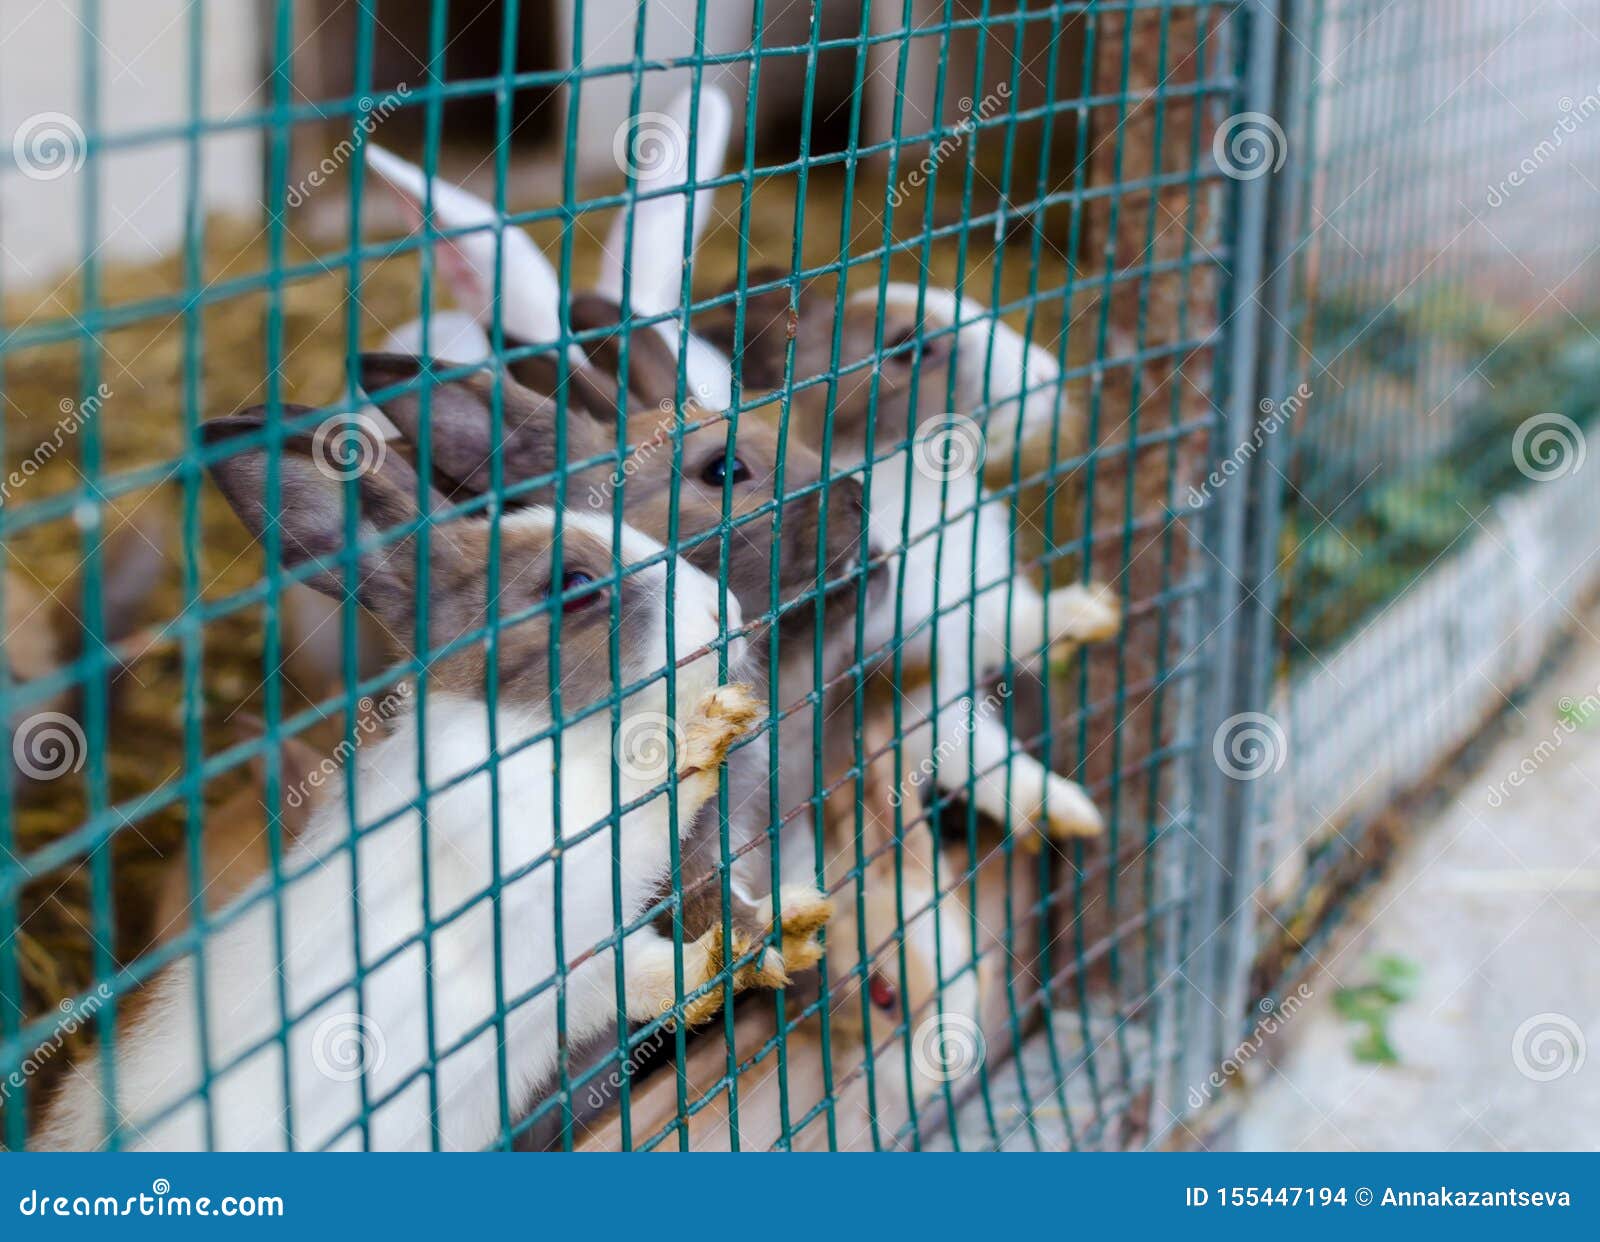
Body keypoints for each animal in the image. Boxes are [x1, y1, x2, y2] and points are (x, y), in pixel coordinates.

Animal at [34, 409, 812, 1152]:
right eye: (574, 585)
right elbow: (647, 829)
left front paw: (778, 938)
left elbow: (656, 968)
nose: (725, 614)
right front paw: (702, 739)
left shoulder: (585, 966)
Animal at [706, 271, 1120, 843]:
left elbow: (1022, 621)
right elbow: (979, 753)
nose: (1045, 375)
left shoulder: (981, 606)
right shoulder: (913, 685)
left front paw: (1091, 612)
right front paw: (1066, 809)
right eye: (910, 347)